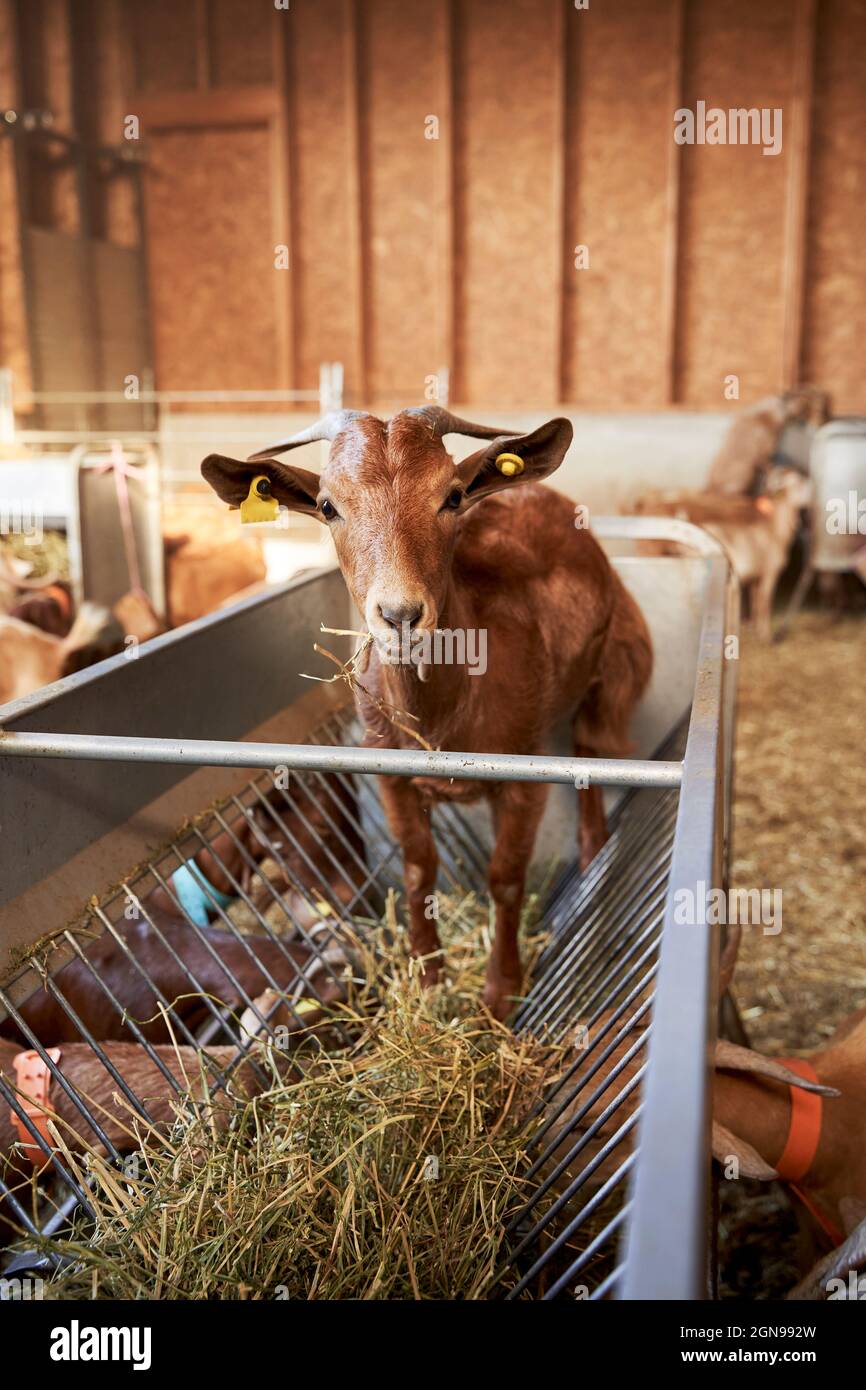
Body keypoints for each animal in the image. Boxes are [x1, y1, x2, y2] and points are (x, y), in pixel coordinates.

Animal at [201, 408, 653, 1019]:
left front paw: (500, 993)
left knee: (589, 762)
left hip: (604, 677)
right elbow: (418, 871)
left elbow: (506, 878)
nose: (400, 614)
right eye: (327, 506)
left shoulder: (525, 774)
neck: (442, 716)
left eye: (453, 496)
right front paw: (429, 976)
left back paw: (592, 859)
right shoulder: (389, 772)